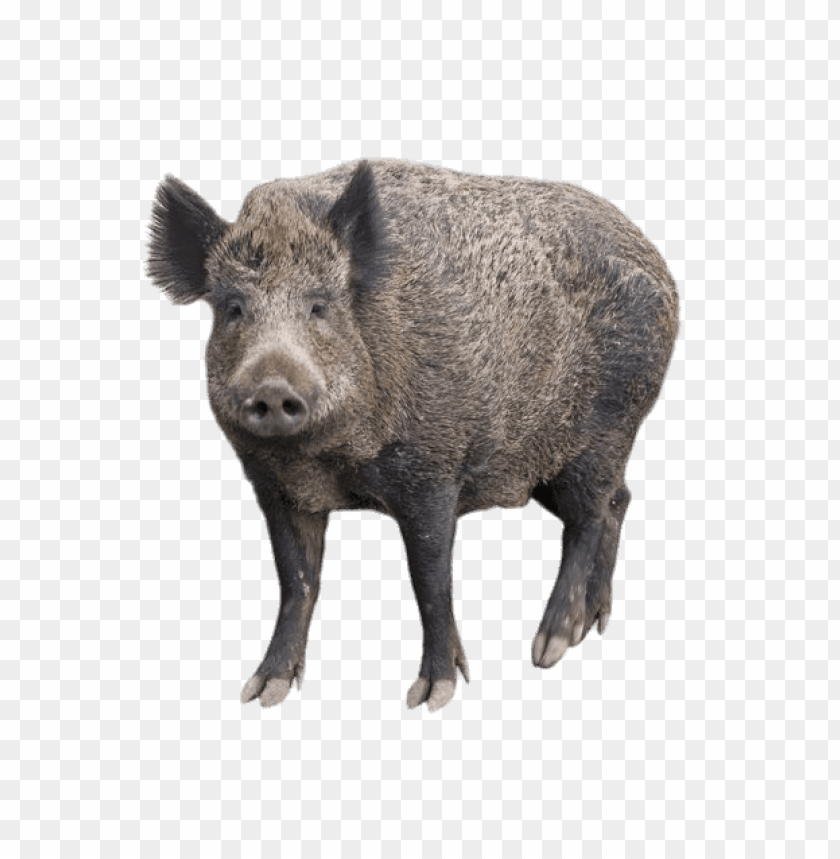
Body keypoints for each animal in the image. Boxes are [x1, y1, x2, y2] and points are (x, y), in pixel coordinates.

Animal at [146, 159, 678, 712]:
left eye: (320, 305)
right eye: (233, 307)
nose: (272, 387)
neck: (327, 461)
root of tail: (661, 267)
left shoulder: (433, 473)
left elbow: (430, 581)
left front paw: (431, 696)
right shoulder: (275, 487)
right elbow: (296, 583)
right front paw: (262, 692)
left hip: (604, 432)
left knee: (588, 518)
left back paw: (549, 647)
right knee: (620, 500)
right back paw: (596, 624)